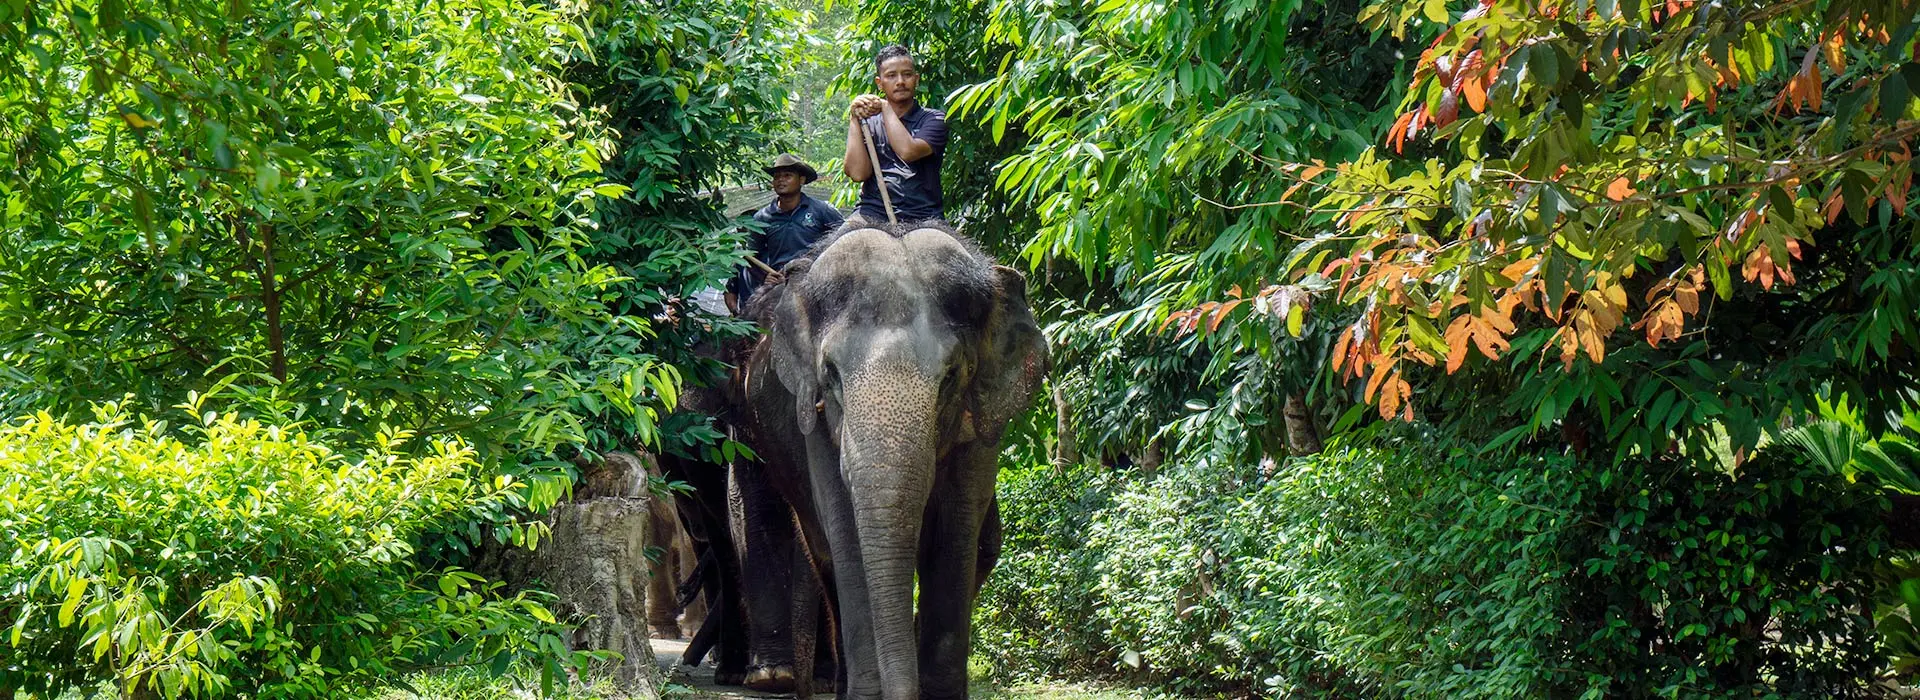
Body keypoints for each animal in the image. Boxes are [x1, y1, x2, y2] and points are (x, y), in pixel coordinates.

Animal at [736, 220, 1049, 700]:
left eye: (952, 376)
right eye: (831, 374)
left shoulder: (983, 422)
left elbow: (955, 533)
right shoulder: (814, 422)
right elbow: (846, 533)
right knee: (826, 556)